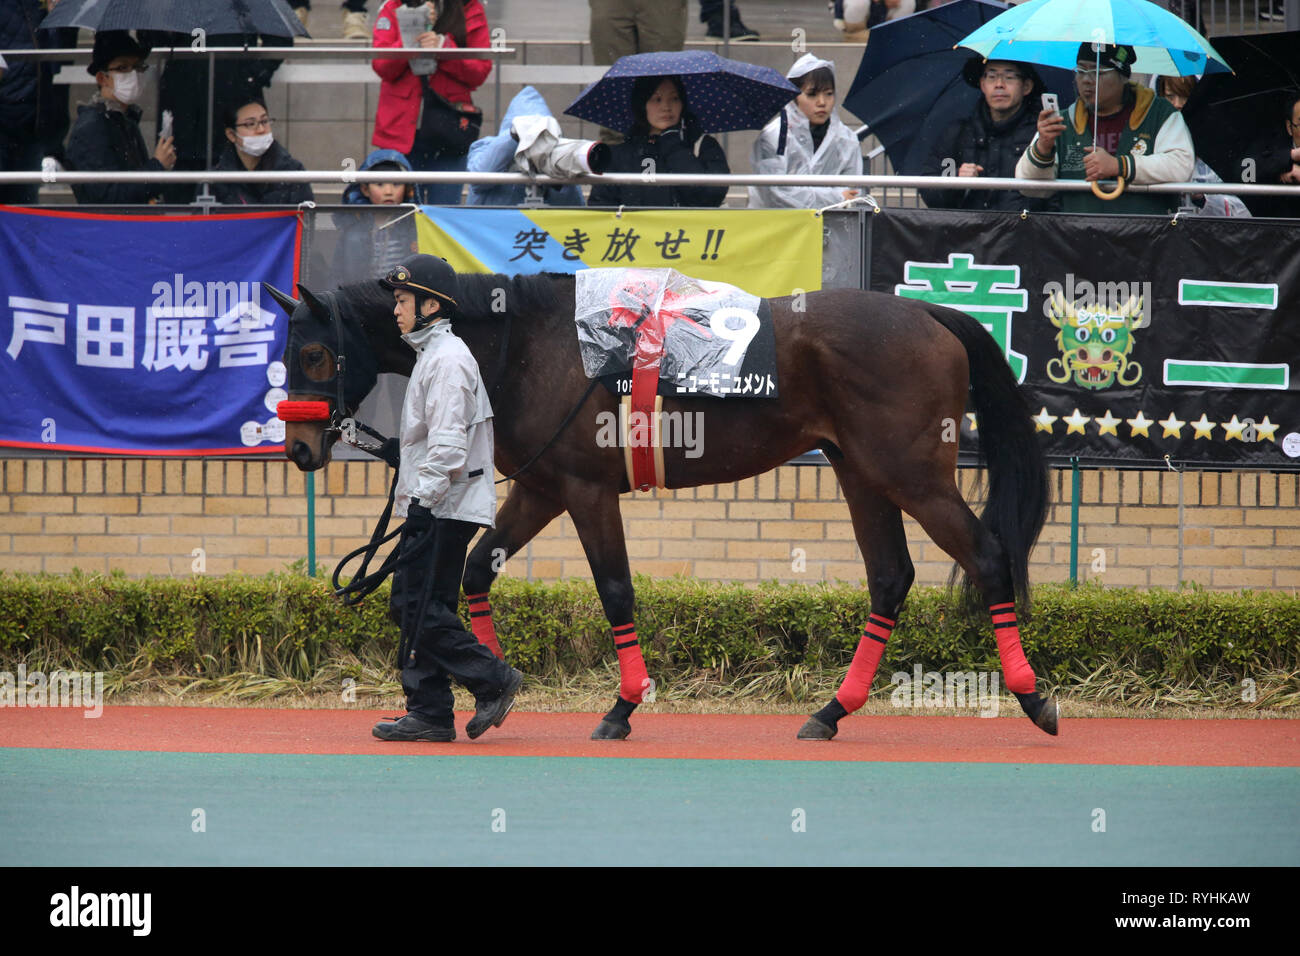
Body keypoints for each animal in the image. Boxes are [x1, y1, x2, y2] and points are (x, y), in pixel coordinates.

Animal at [264, 272, 1059, 741]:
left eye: (314, 355)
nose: (299, 448)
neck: (531, 344)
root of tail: (928, 311)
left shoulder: (585, 490)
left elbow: (615, 590)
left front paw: (622, 707)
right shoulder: (543, 486)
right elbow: (475, 575)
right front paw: (488, 686)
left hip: (912, 474)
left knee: (988, 557)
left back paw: (1031, 696)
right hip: (862, 472)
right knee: (891, 578)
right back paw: (830, 712)